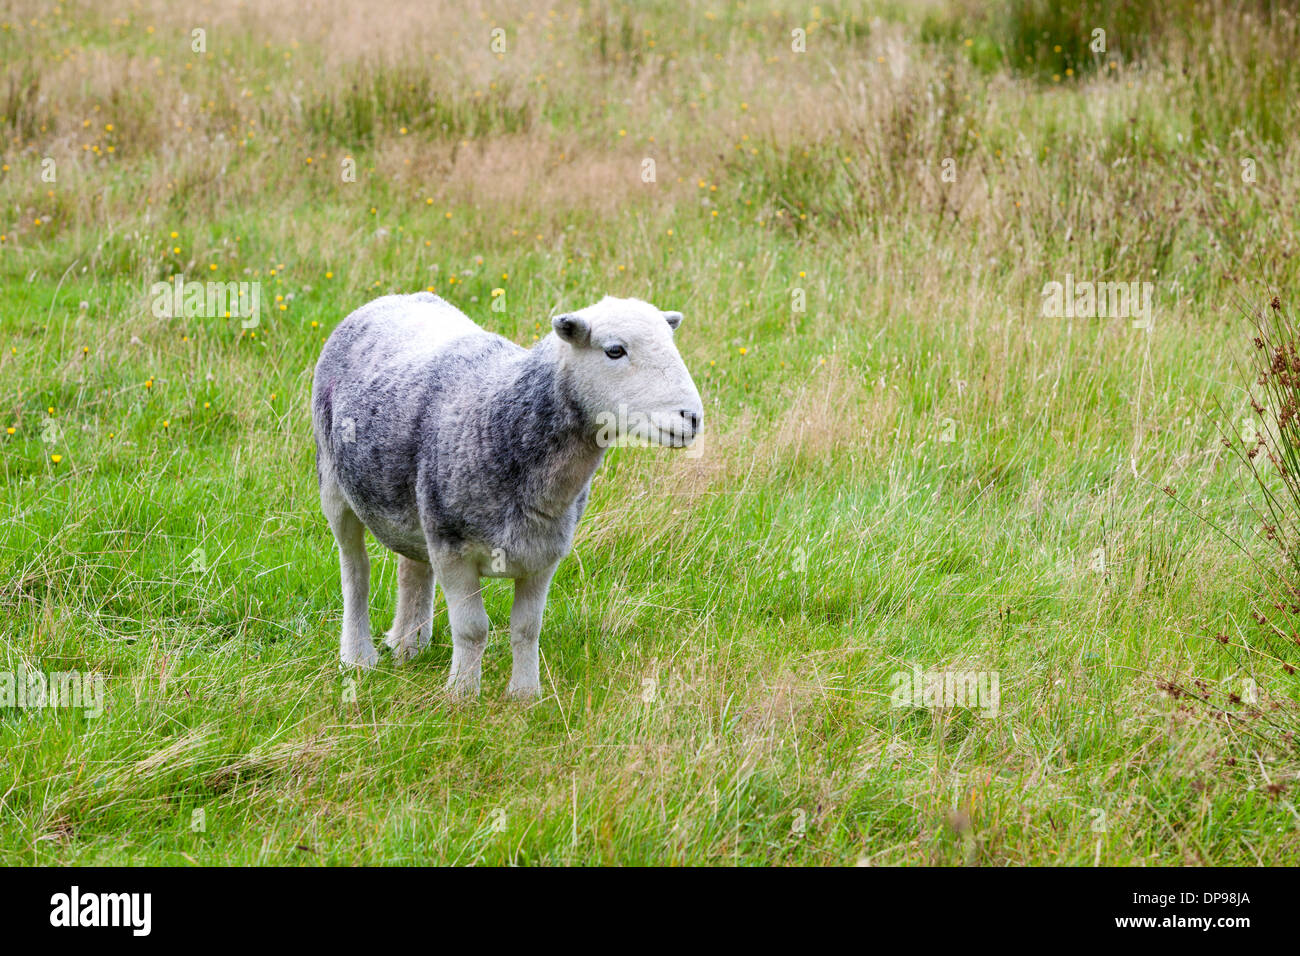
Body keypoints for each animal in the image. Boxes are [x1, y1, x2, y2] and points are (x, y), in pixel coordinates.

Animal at [311, 292, 703, 698]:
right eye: (614, 351)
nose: (692, 418)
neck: (501, 423)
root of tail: (393, 297)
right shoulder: (452, 549)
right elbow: (472, 628)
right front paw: (463, 695)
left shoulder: (543, 553)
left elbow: (527, 628)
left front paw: (525, 696)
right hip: (334, 483)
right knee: (356, 571)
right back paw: (358, 656)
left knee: (412, 567)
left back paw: (409, 645)